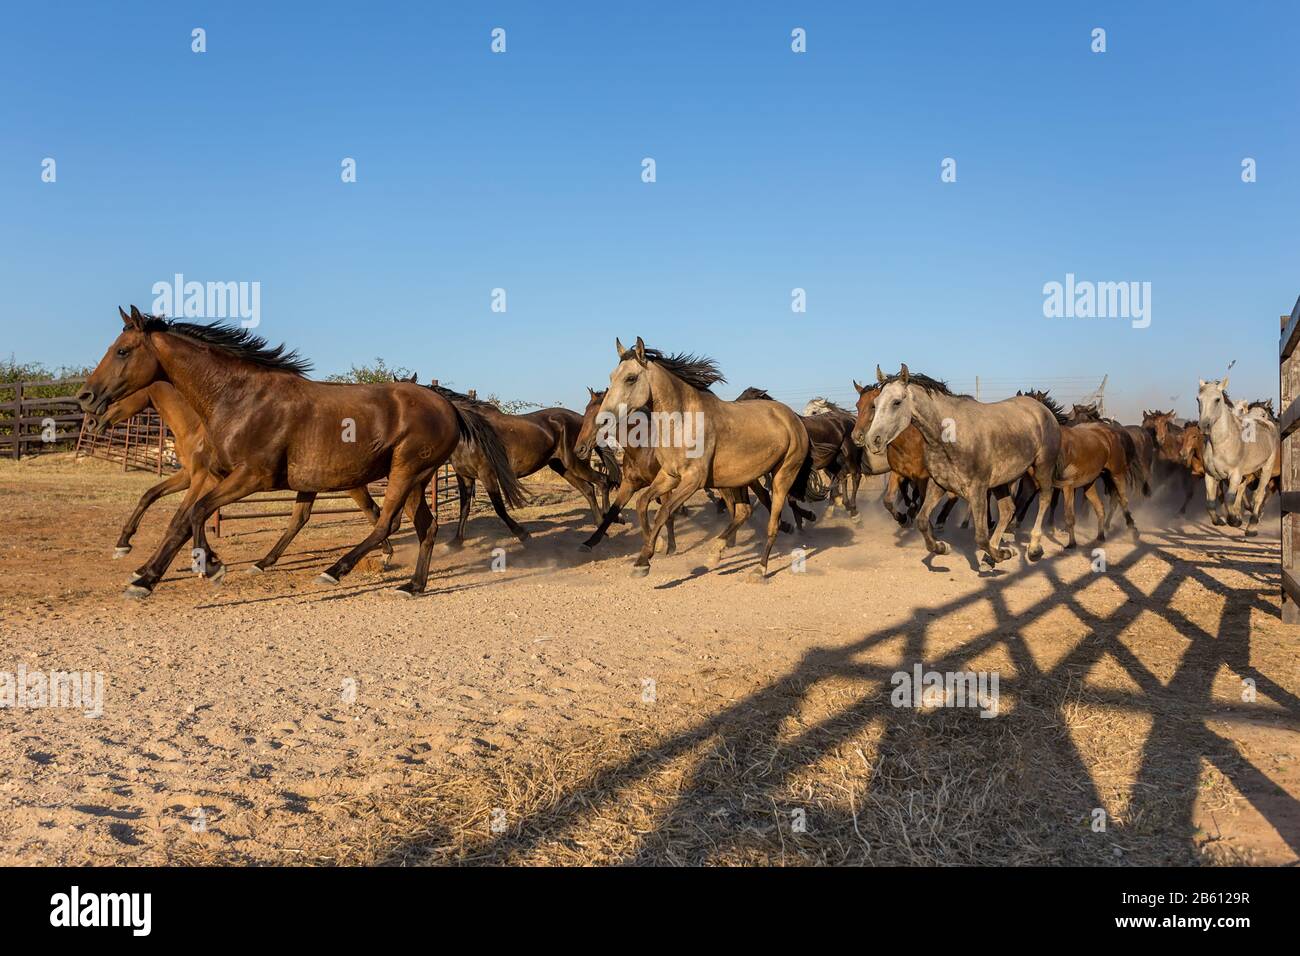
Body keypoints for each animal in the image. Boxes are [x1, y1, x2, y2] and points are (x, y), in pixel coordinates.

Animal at [96, 381, 396, 576]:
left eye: (121, 394)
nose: (96, 419)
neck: (196, 426)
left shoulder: (203, 478)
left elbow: (182, 518)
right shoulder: (188, 475)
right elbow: (152, 495)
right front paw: (124, 545)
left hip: (345, 483)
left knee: (372, 510)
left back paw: (384, 555)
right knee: (303, 519)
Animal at [589, 338, 817, 578]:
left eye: (631, 378)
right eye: (611, 376)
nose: (603, 419)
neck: (682, 421)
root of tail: (794, 418)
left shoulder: (693, 480)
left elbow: (664, 511)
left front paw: (643, 562)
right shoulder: (669, 476)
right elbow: (643, 503)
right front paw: (653, 549)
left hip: (783, 474)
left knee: (772, 521)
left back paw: (760, 568)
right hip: (740, 478)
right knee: (743, 511)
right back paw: (716, 552)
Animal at [860, 365, 1060, 565]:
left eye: (896, 402)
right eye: (875, 403)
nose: (872, 440)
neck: (950, 437)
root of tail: (1043, 410)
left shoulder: (978, 489)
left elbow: (981, 537)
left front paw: (1003, 554)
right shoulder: (938, 483)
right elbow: (922, 520)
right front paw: (942, 547)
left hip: (1042, 468)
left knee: (1044, 498)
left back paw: (1033, 548)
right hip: (1003, 480)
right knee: (1008, 509)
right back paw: (992, 555)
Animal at [1195, 377, 1280, 535]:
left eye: (1217, 399)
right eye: (1198, 399)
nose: (1204, 426)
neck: (1221, 443)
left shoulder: (1234, 475)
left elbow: (1229, 499)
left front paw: (1234, 521)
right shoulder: (1210, 475)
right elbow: (1210, 503)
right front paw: (1219, 521)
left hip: (1267, 469)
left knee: (1259, 495)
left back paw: (1252, 527)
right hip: (1247, 474)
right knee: (1243, 493)